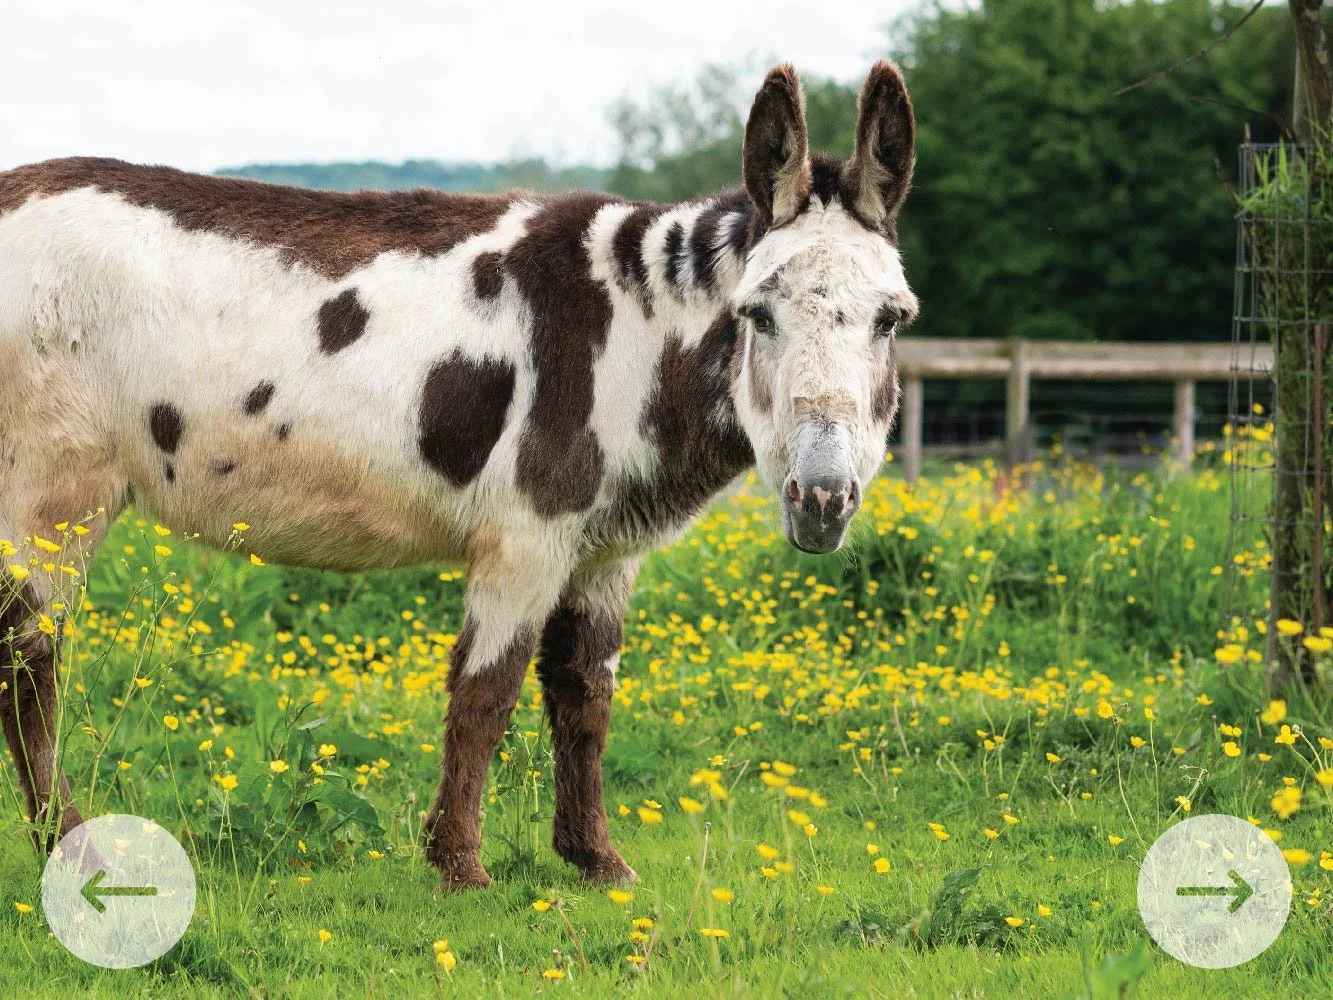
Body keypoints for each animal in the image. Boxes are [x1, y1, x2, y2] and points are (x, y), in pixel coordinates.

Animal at [0, 62, 916, 889]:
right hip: (53, 490)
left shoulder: (603, 553)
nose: (822, 502)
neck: (633, 332)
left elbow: (584, 696)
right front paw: (459, 867)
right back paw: (70, 851)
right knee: (29, 660)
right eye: (757, 314)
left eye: (890, 320)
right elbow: (485, 691)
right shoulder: (526, 539)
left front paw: (594, 861)